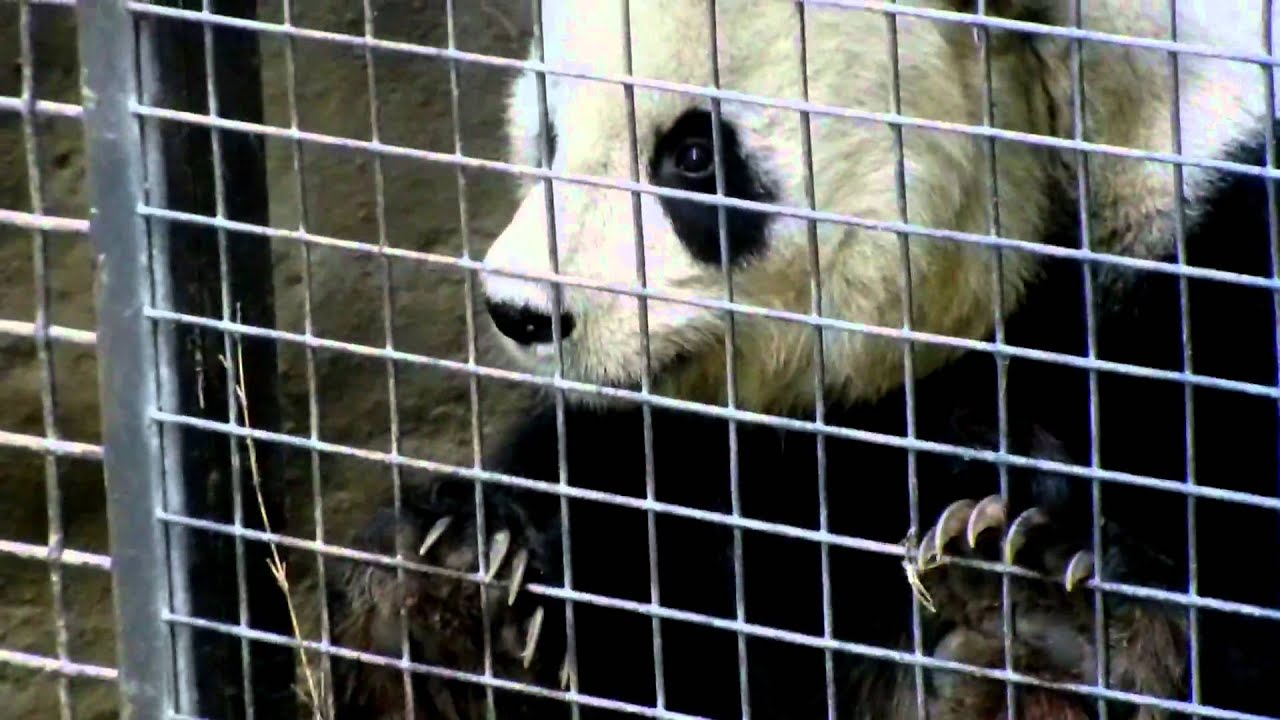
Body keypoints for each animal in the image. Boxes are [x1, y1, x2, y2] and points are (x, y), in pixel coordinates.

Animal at [326, 0, 1280, 718]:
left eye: (694, 156)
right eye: (550, 131)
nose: (522, 313)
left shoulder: (1211, 268)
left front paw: (1051, 605)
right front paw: (460, 592)